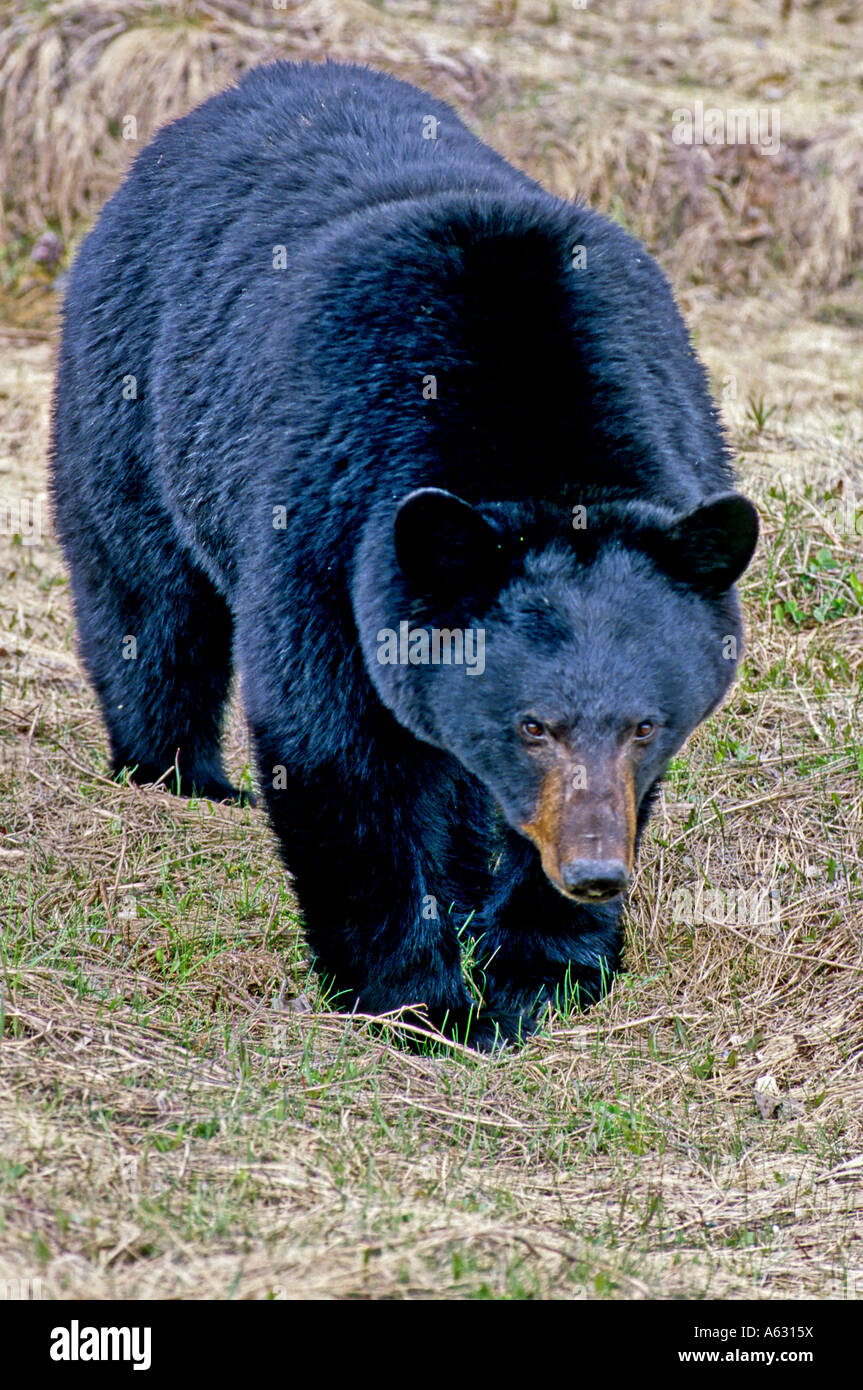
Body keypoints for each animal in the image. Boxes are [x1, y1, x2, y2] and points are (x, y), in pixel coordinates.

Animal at [51, 60, 758, 1050]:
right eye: (531, 724)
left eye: (644, 724)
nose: (593, 873)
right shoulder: (329, 516)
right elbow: (337, 748)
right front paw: (418, 996)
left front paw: (539, 970)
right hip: (134, 395)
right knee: (147, 606)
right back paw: (178, 777)